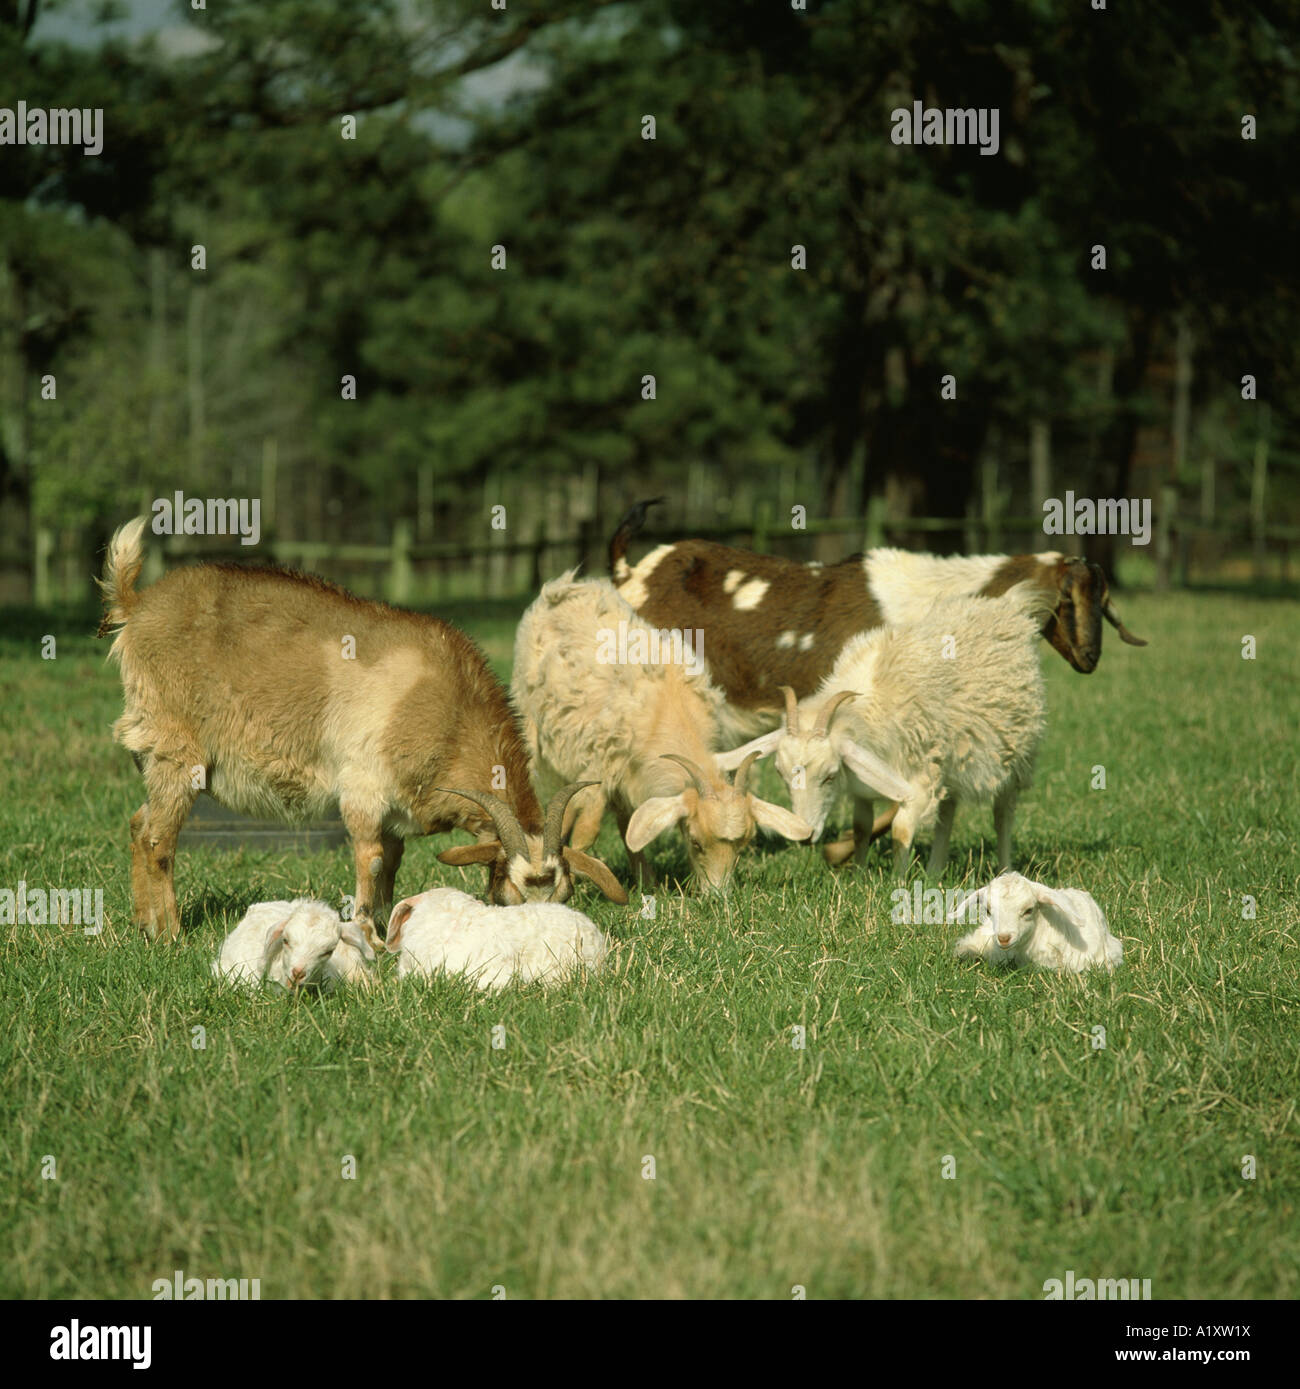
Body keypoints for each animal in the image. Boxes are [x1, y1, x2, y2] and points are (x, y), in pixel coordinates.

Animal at [98, 518, 626, 947]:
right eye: (512, 896)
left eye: (564, 893)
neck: (449, 712)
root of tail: (136, 606)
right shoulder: (363, 788)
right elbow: (369, 860)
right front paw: (366, 932)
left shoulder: (397, 813)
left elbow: (391, 862)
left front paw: (390, 925)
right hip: (175, 748)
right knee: (158, 839)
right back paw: (170, 933)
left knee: (139, 824)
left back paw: (144, 926)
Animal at [512, 572, 811, 892]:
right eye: (695, 840)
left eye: (743, 846)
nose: (717, 896)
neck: (665, 710)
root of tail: (566, 585)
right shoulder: (600, 766)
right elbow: (586, 831)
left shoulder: (629, 774)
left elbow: (629, 824)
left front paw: (644, 882)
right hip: (532, 721)